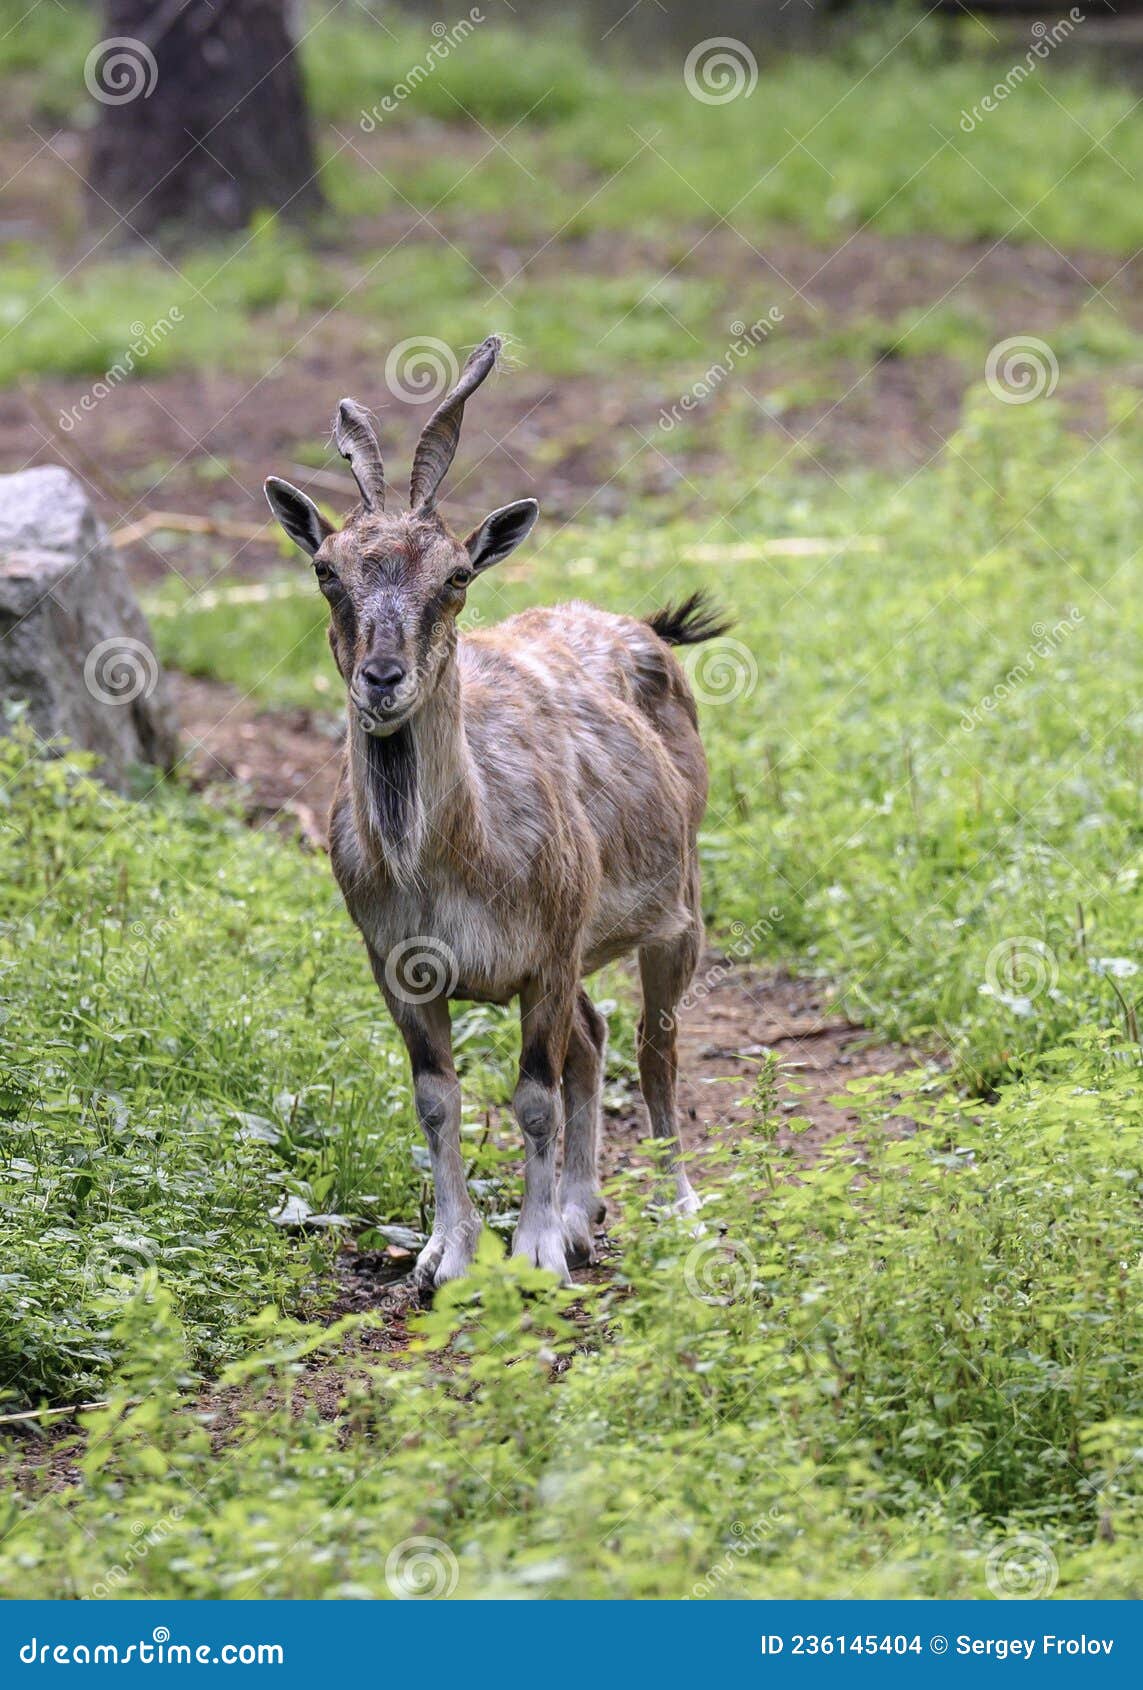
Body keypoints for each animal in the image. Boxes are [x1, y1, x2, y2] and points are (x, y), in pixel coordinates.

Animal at [265, 335, 730, 1288]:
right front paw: (447, 1253)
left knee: (653, 1045)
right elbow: (437, 1100)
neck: (451, 859)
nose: (382, 678)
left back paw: (677, 1209)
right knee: (594, 1035)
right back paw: (587, 1210)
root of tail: (644, 627)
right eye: (327, 571)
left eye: (455, 576)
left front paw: (537, 1251)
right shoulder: (398, 966)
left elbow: (533, 1097)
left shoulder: (545, 954)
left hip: (676, 909)